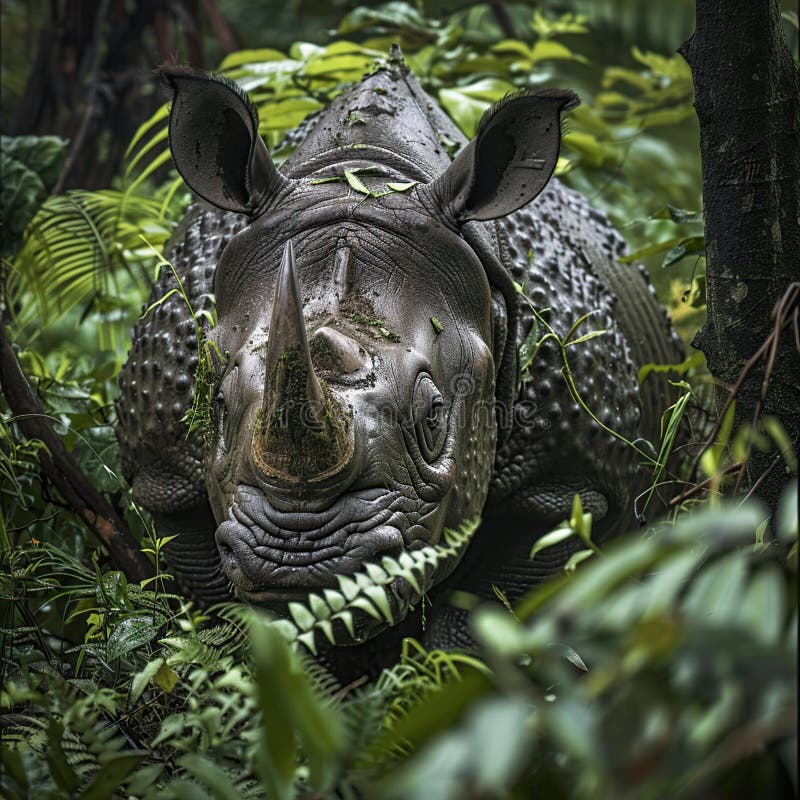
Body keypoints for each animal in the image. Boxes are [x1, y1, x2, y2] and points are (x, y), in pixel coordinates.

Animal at [116, 51, 681, 670]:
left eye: (434, 418)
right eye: (215, 407)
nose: (300, 564)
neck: (365, 175)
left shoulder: (564, 481)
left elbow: (478, 619)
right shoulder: (165, 474)